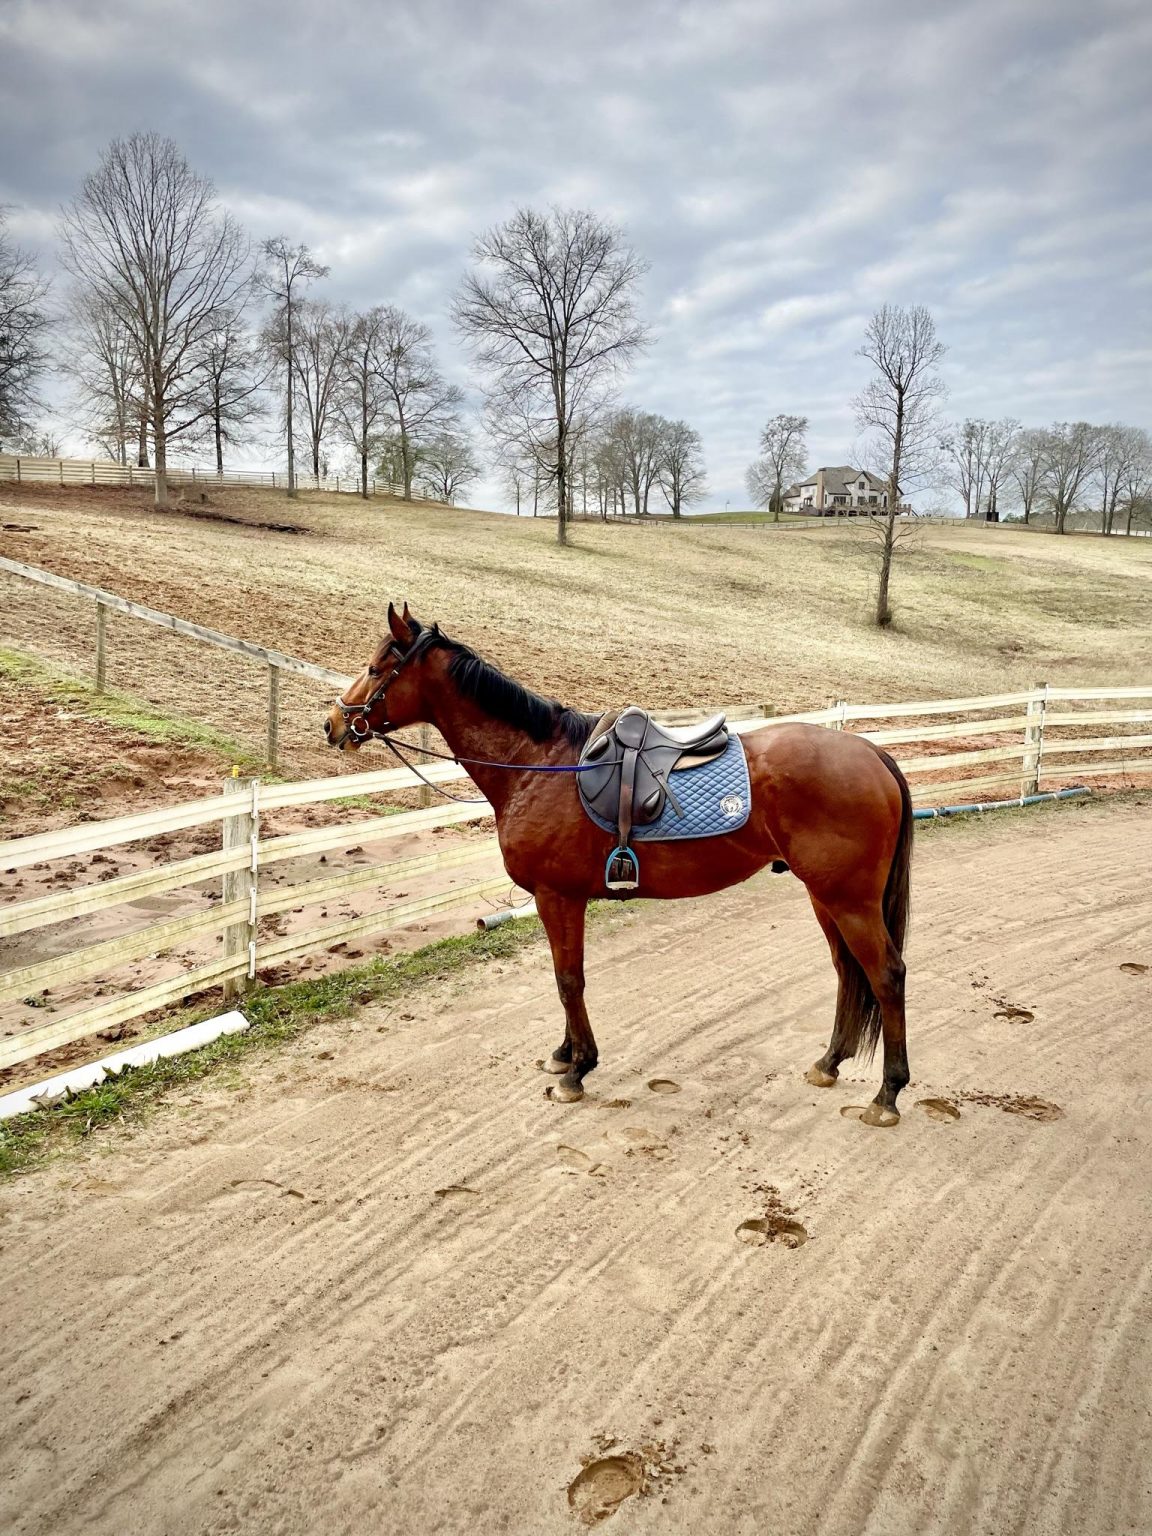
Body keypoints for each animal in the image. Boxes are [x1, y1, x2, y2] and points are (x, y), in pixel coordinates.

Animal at [324, 605, 913, 1128]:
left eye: (376, 669)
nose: (333, 723)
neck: (537, 765)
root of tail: (871, 753)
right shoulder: (563, 899)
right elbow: (568, 978)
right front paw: (565, 1054)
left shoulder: (556, 896)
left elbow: (569, 980)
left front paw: (577, 1070)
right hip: (824, 896)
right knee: (847, 971)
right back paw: (829, 1063)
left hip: (849, 900)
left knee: (885, 975)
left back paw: (887, 1094)